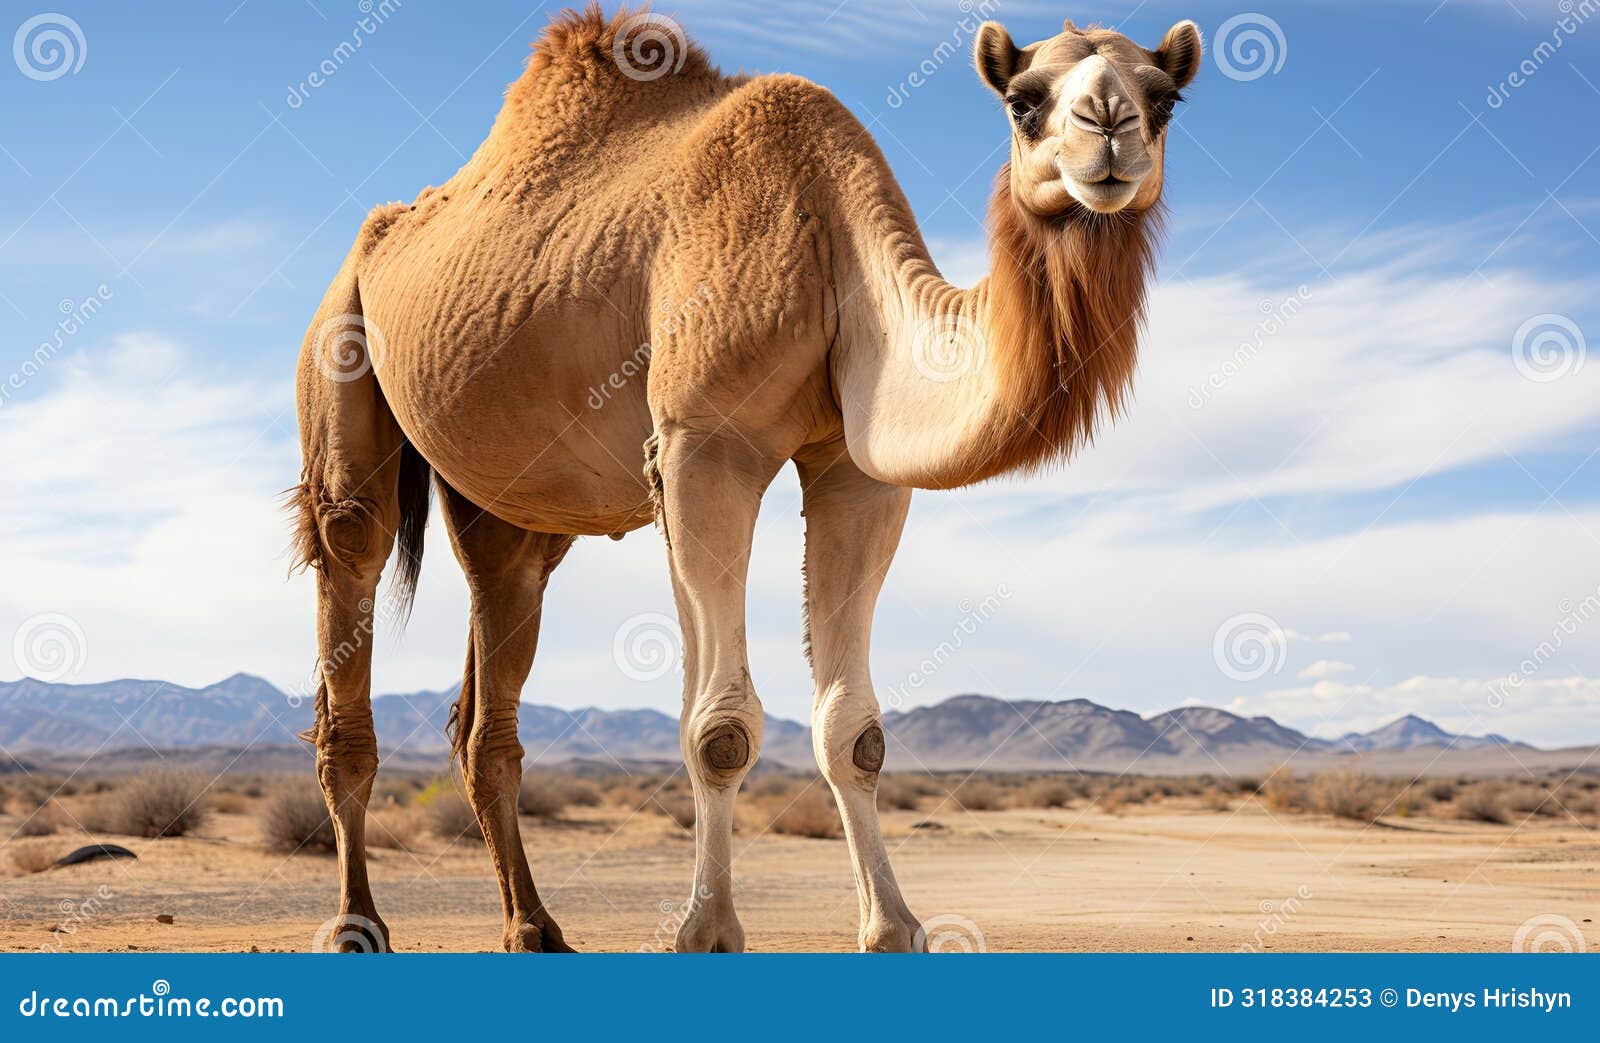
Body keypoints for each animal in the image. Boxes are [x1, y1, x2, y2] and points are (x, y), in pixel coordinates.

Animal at [290, 6, 1201, 953]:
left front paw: (893, 925)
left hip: (508, 504)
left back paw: (534, 925)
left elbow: (854, 730)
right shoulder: (703, 446)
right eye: (1024, 100)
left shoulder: (853, 471)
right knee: (352, 559)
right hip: (339, 349)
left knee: (493, 661)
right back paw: (357, 922)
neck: (827, 240)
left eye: (1165, 97)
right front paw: (706, 929)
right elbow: (719, 727)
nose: (1108, 128)